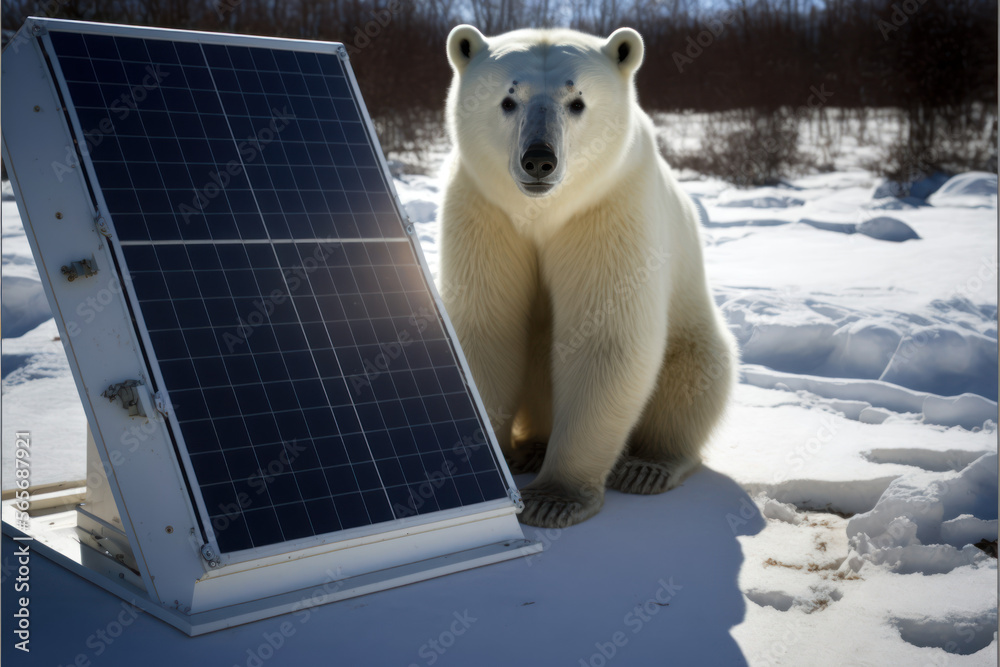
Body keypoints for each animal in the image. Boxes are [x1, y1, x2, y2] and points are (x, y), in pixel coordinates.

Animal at [438, 24, 738, 528]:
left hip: (696, 331)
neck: (543, 212)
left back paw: (648, 466)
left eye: (576, 100)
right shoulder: (484, 208)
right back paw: (529, 448)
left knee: (697, 372)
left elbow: (605, 337)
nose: (539, 159)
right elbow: (486, 328)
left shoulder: (610, 205)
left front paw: (552, 500)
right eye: (508, 99)